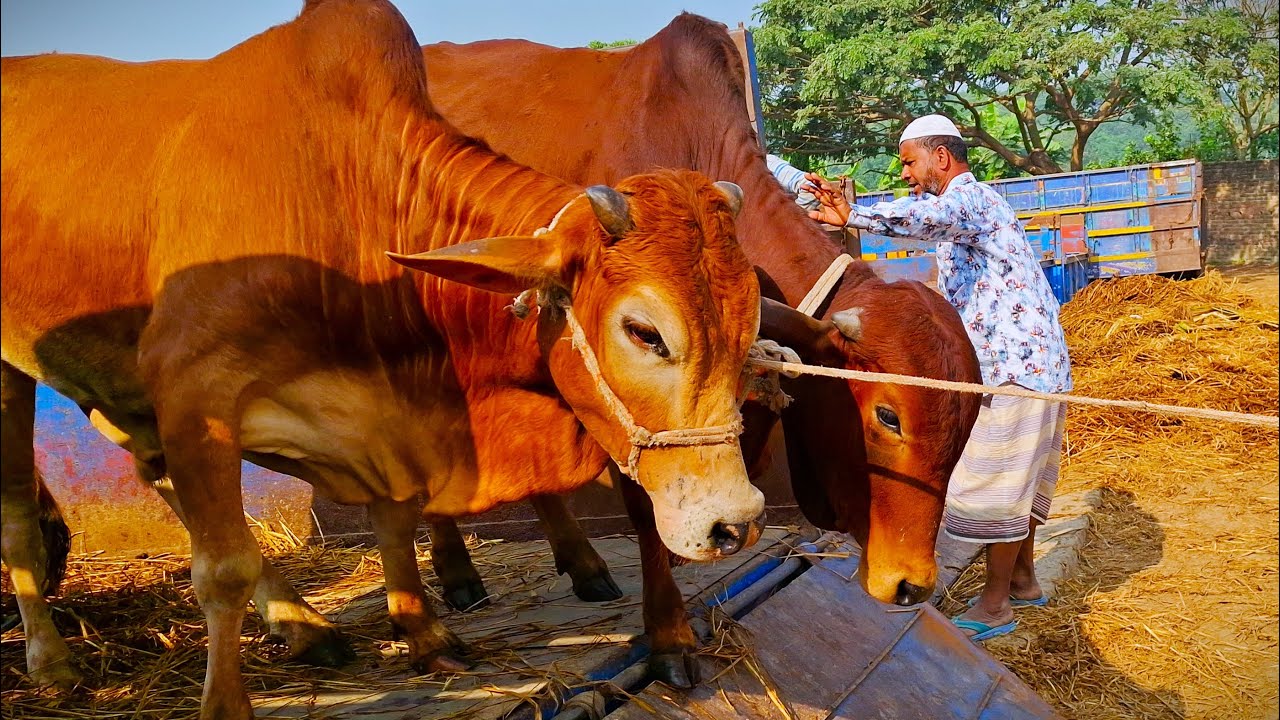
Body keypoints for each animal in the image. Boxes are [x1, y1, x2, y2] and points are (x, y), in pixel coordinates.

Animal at [0, 2, 769, 717]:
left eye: (751, 324)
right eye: (645, 332)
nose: (734, 525)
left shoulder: (384, 427)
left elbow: (394, 519)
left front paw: (423, 636)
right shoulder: (194, 391)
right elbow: (222, 568)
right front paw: (225, 705)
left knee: (148, 473)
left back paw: (304, 626)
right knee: (21, 519)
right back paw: (54, 662)